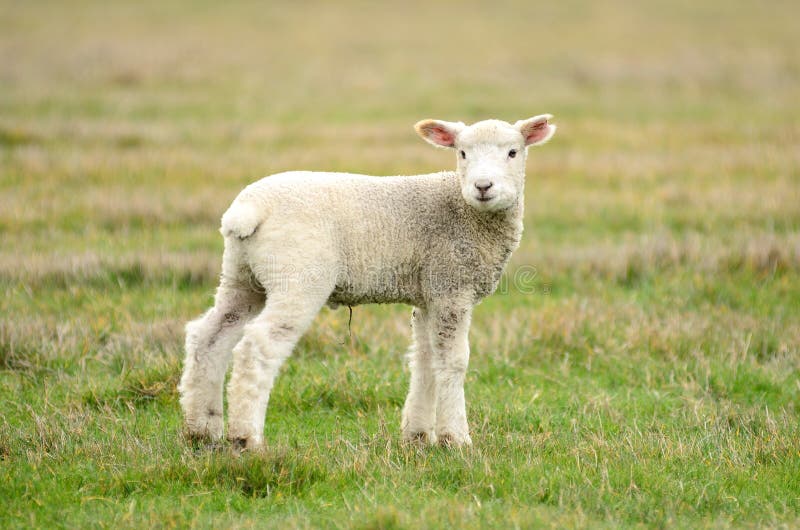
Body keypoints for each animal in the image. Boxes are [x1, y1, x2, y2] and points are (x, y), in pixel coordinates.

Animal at [178, 115, 557, 450]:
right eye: (462, 153)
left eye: (513, 152)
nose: (483, 187)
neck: (465, 212)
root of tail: (248, 211)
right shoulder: (451, 286)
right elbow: (452, 361)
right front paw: (456, 439)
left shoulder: (429, 293)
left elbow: (424, 359)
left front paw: (418, 436)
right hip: (298, 277)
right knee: (256, 347)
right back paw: (246, 439)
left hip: (242, 277)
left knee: (209, 336)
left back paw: (202, 431)